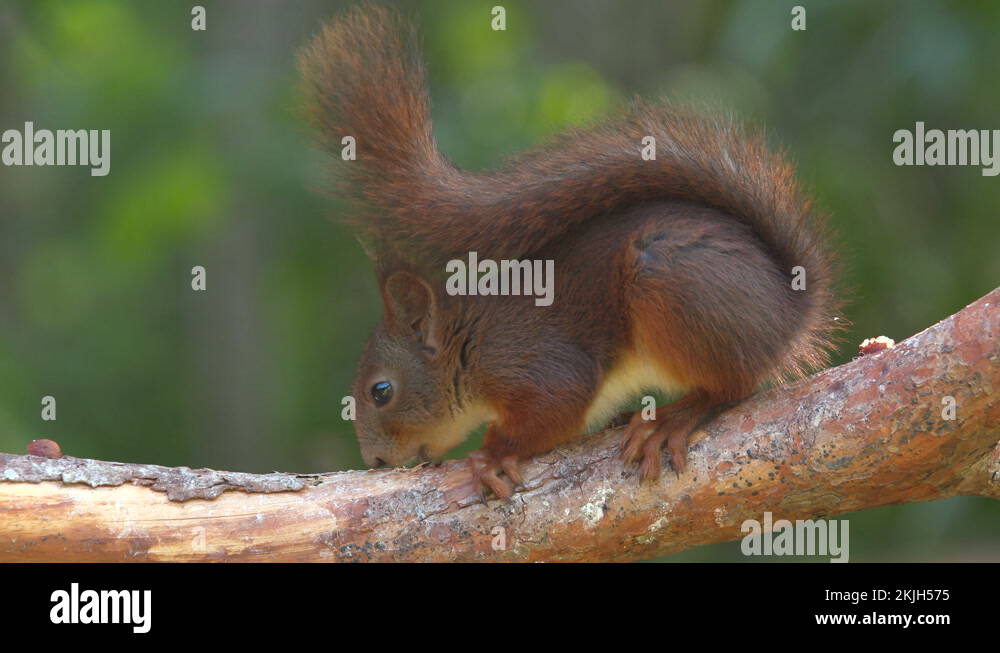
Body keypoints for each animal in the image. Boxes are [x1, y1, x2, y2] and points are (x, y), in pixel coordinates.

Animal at [299, 5, 843, 500]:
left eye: (381, 392)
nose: (374, 460)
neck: (468, 351)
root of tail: (791, 309)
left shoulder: (533, 363)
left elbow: (556, 408)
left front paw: (490, 454)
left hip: (670, 282)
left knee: (733, 386)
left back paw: (671, 418)